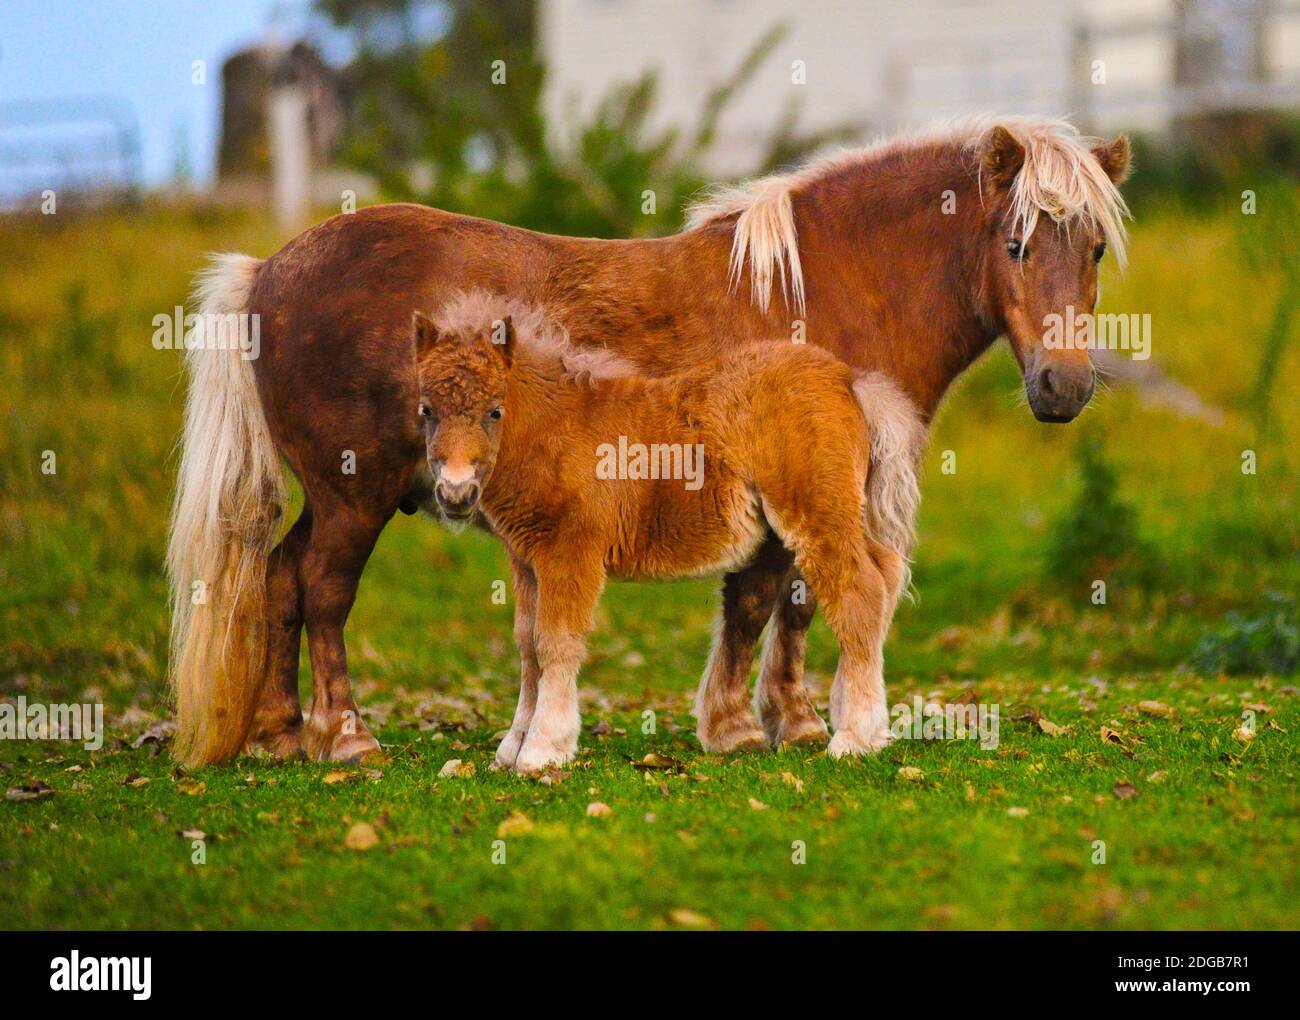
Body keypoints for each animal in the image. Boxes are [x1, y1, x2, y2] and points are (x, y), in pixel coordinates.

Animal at [411, 291, 924, 772]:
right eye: (426, 410)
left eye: (494, 411)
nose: (455, 492)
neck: (557, 430)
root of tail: (850, 381)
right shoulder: (525, 559)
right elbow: (526, 645)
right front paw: (510, 750)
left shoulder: (570, 551)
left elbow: (555, 643)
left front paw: (542, 751)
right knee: (885, 571)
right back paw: (867, 726)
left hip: (817, 513)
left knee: (859, 591)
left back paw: (853, 738)